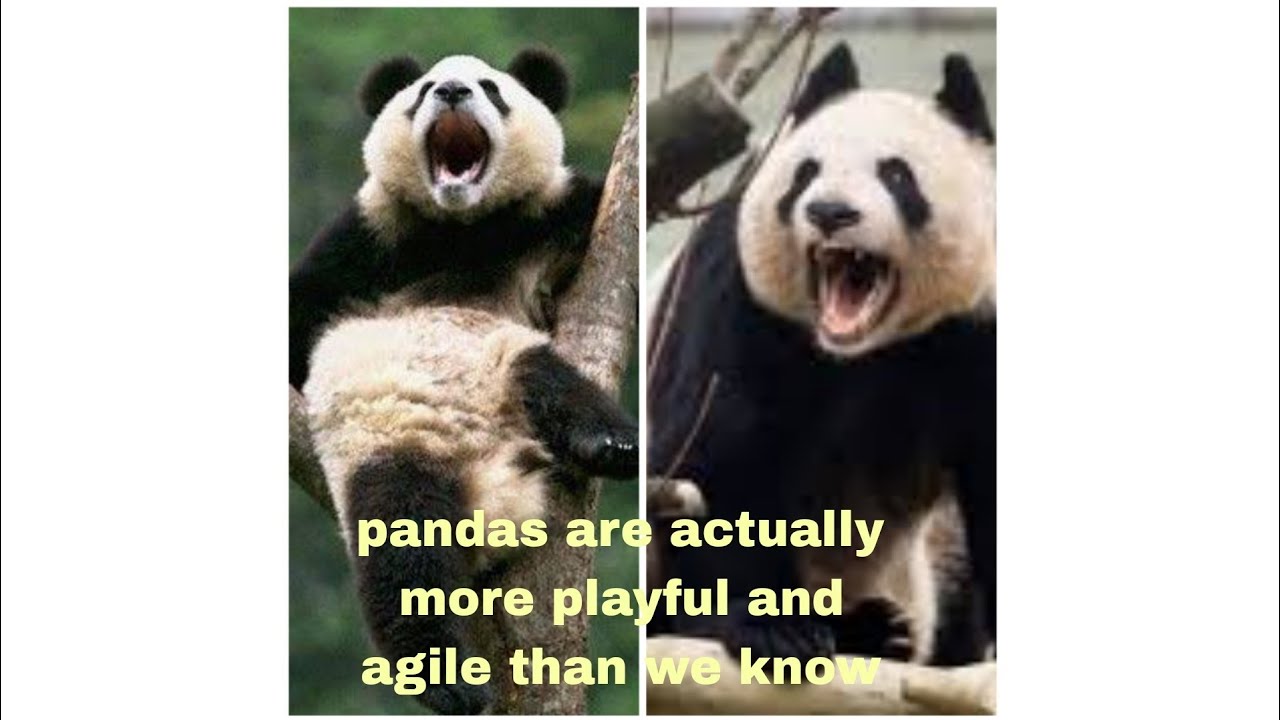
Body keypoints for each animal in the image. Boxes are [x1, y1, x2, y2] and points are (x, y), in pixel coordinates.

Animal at [290, 47, 637, 714]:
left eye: (490, 88)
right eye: (422, 89)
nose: (451, 91)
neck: (461, 226)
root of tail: (494, 486)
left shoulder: (545, 217)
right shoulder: (369, 234)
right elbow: (304, 310)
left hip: (508, 362)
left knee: (553, 382)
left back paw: (611, 444)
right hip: (393, 446)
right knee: (401, 549)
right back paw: (444, 679)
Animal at [647, 42, 995, 667]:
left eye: (897, 174)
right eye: (806, 171)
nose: (830, 212)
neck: (862, 350)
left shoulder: (975, 326)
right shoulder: (739, 297)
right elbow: (717, 454)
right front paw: (771, 627)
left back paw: (884, 631)